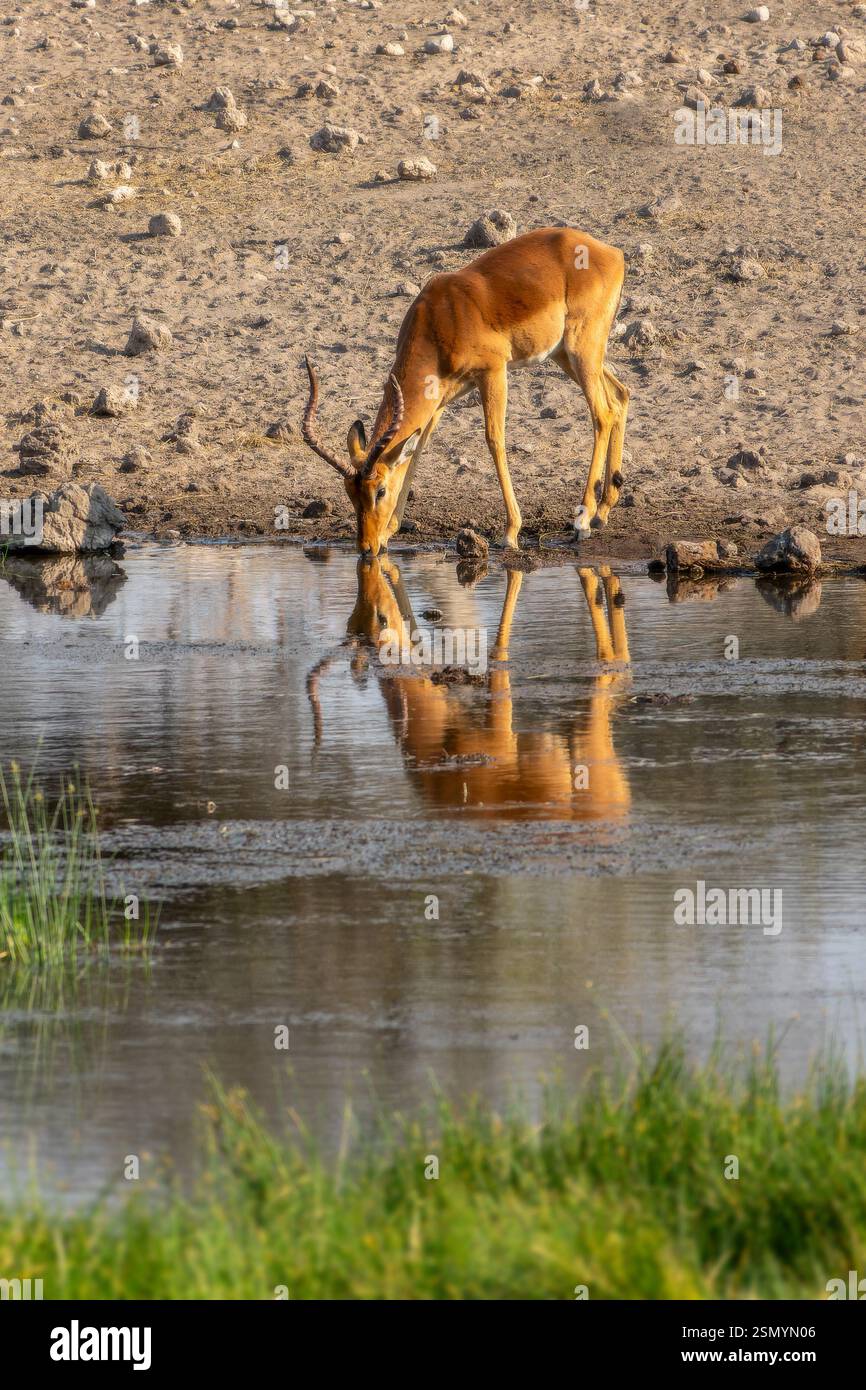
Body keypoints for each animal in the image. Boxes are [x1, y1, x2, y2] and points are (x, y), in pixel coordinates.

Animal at [301, 226, 629, 555]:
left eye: (379, 491)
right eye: (350, 492)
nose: (367, 547)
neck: (440, 319)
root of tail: (611, 252)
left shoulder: (494, 372)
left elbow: (494, 439)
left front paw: (510, 532)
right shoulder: (439, 399)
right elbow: (417, 451)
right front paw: (390, 531)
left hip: (581, 349)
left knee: (602, 413)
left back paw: (582, 522)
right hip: (565, 355)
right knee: (620, 396)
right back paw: (602, 512)